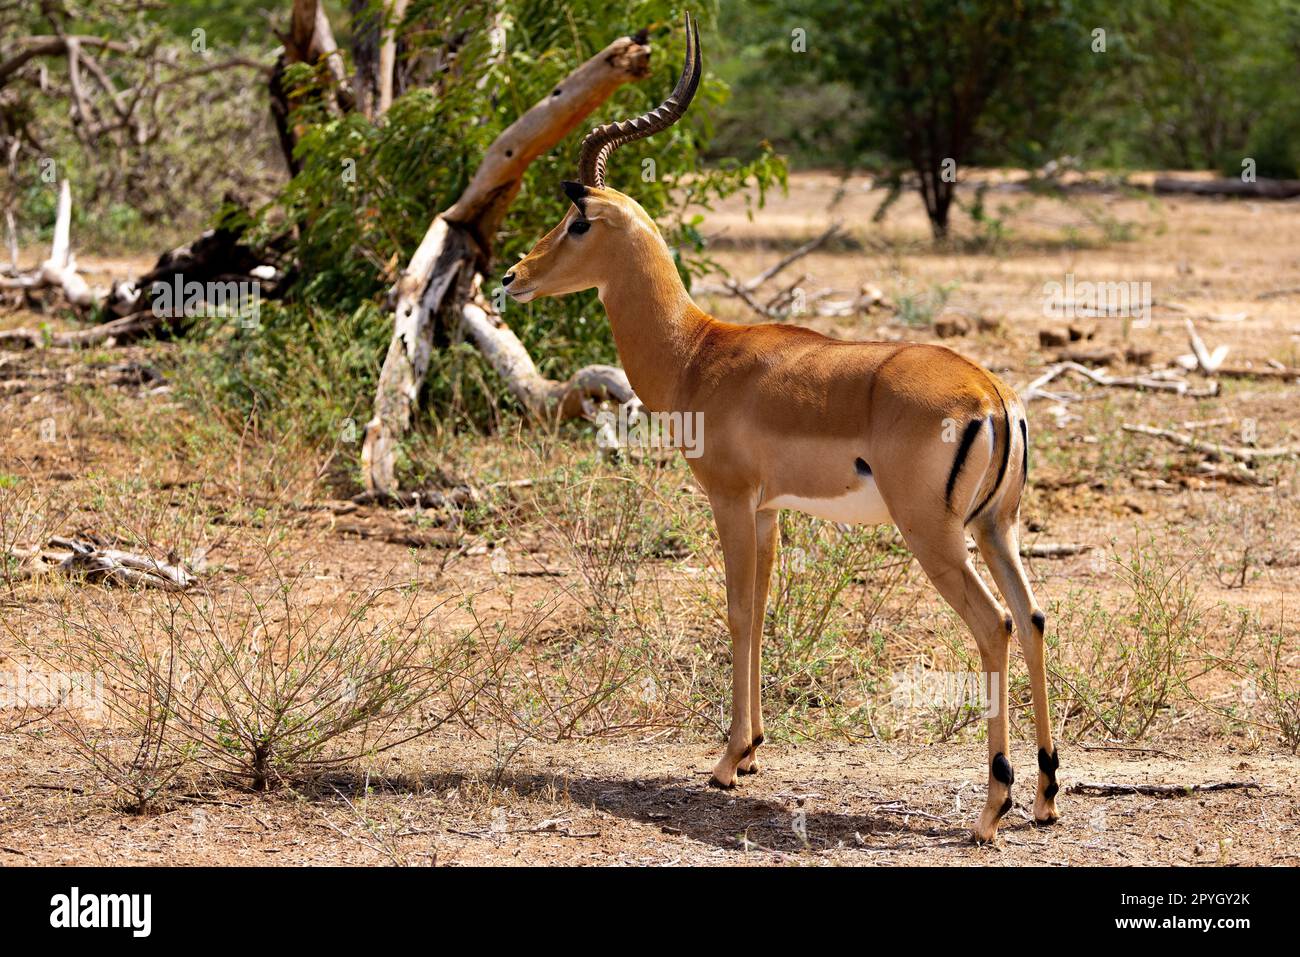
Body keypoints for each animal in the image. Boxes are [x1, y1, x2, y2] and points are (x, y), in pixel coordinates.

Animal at [503, 14, 1060, 843]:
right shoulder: (769, 510)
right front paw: (754, 750)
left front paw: (728, 760)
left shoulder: (731, 499)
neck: (698, 352)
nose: (512, 275)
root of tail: (991, 393)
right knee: (1032, 616)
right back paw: (1049, 793)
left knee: (992, 624)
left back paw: (993, 806)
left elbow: (736, 613)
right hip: (998, 527)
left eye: (577, 220)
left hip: (932, 533)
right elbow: (761, 612)